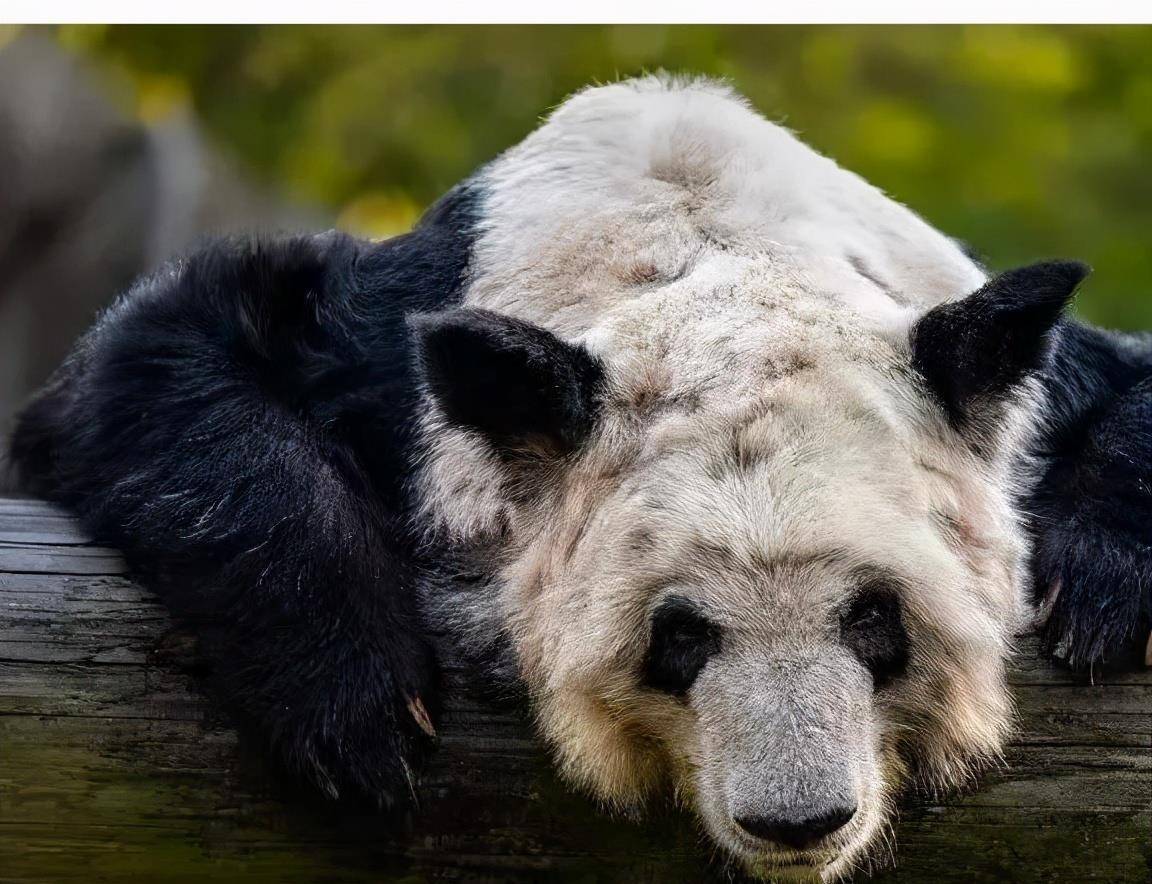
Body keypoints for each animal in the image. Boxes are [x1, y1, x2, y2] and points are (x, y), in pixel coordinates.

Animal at [8, 76, 1152, 880]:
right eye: (680, 635)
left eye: (875, 618)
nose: (798, 820)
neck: (698, 229)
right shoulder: (389, 358)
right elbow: (152, 362)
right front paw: (355, 700)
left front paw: (1098, 592)